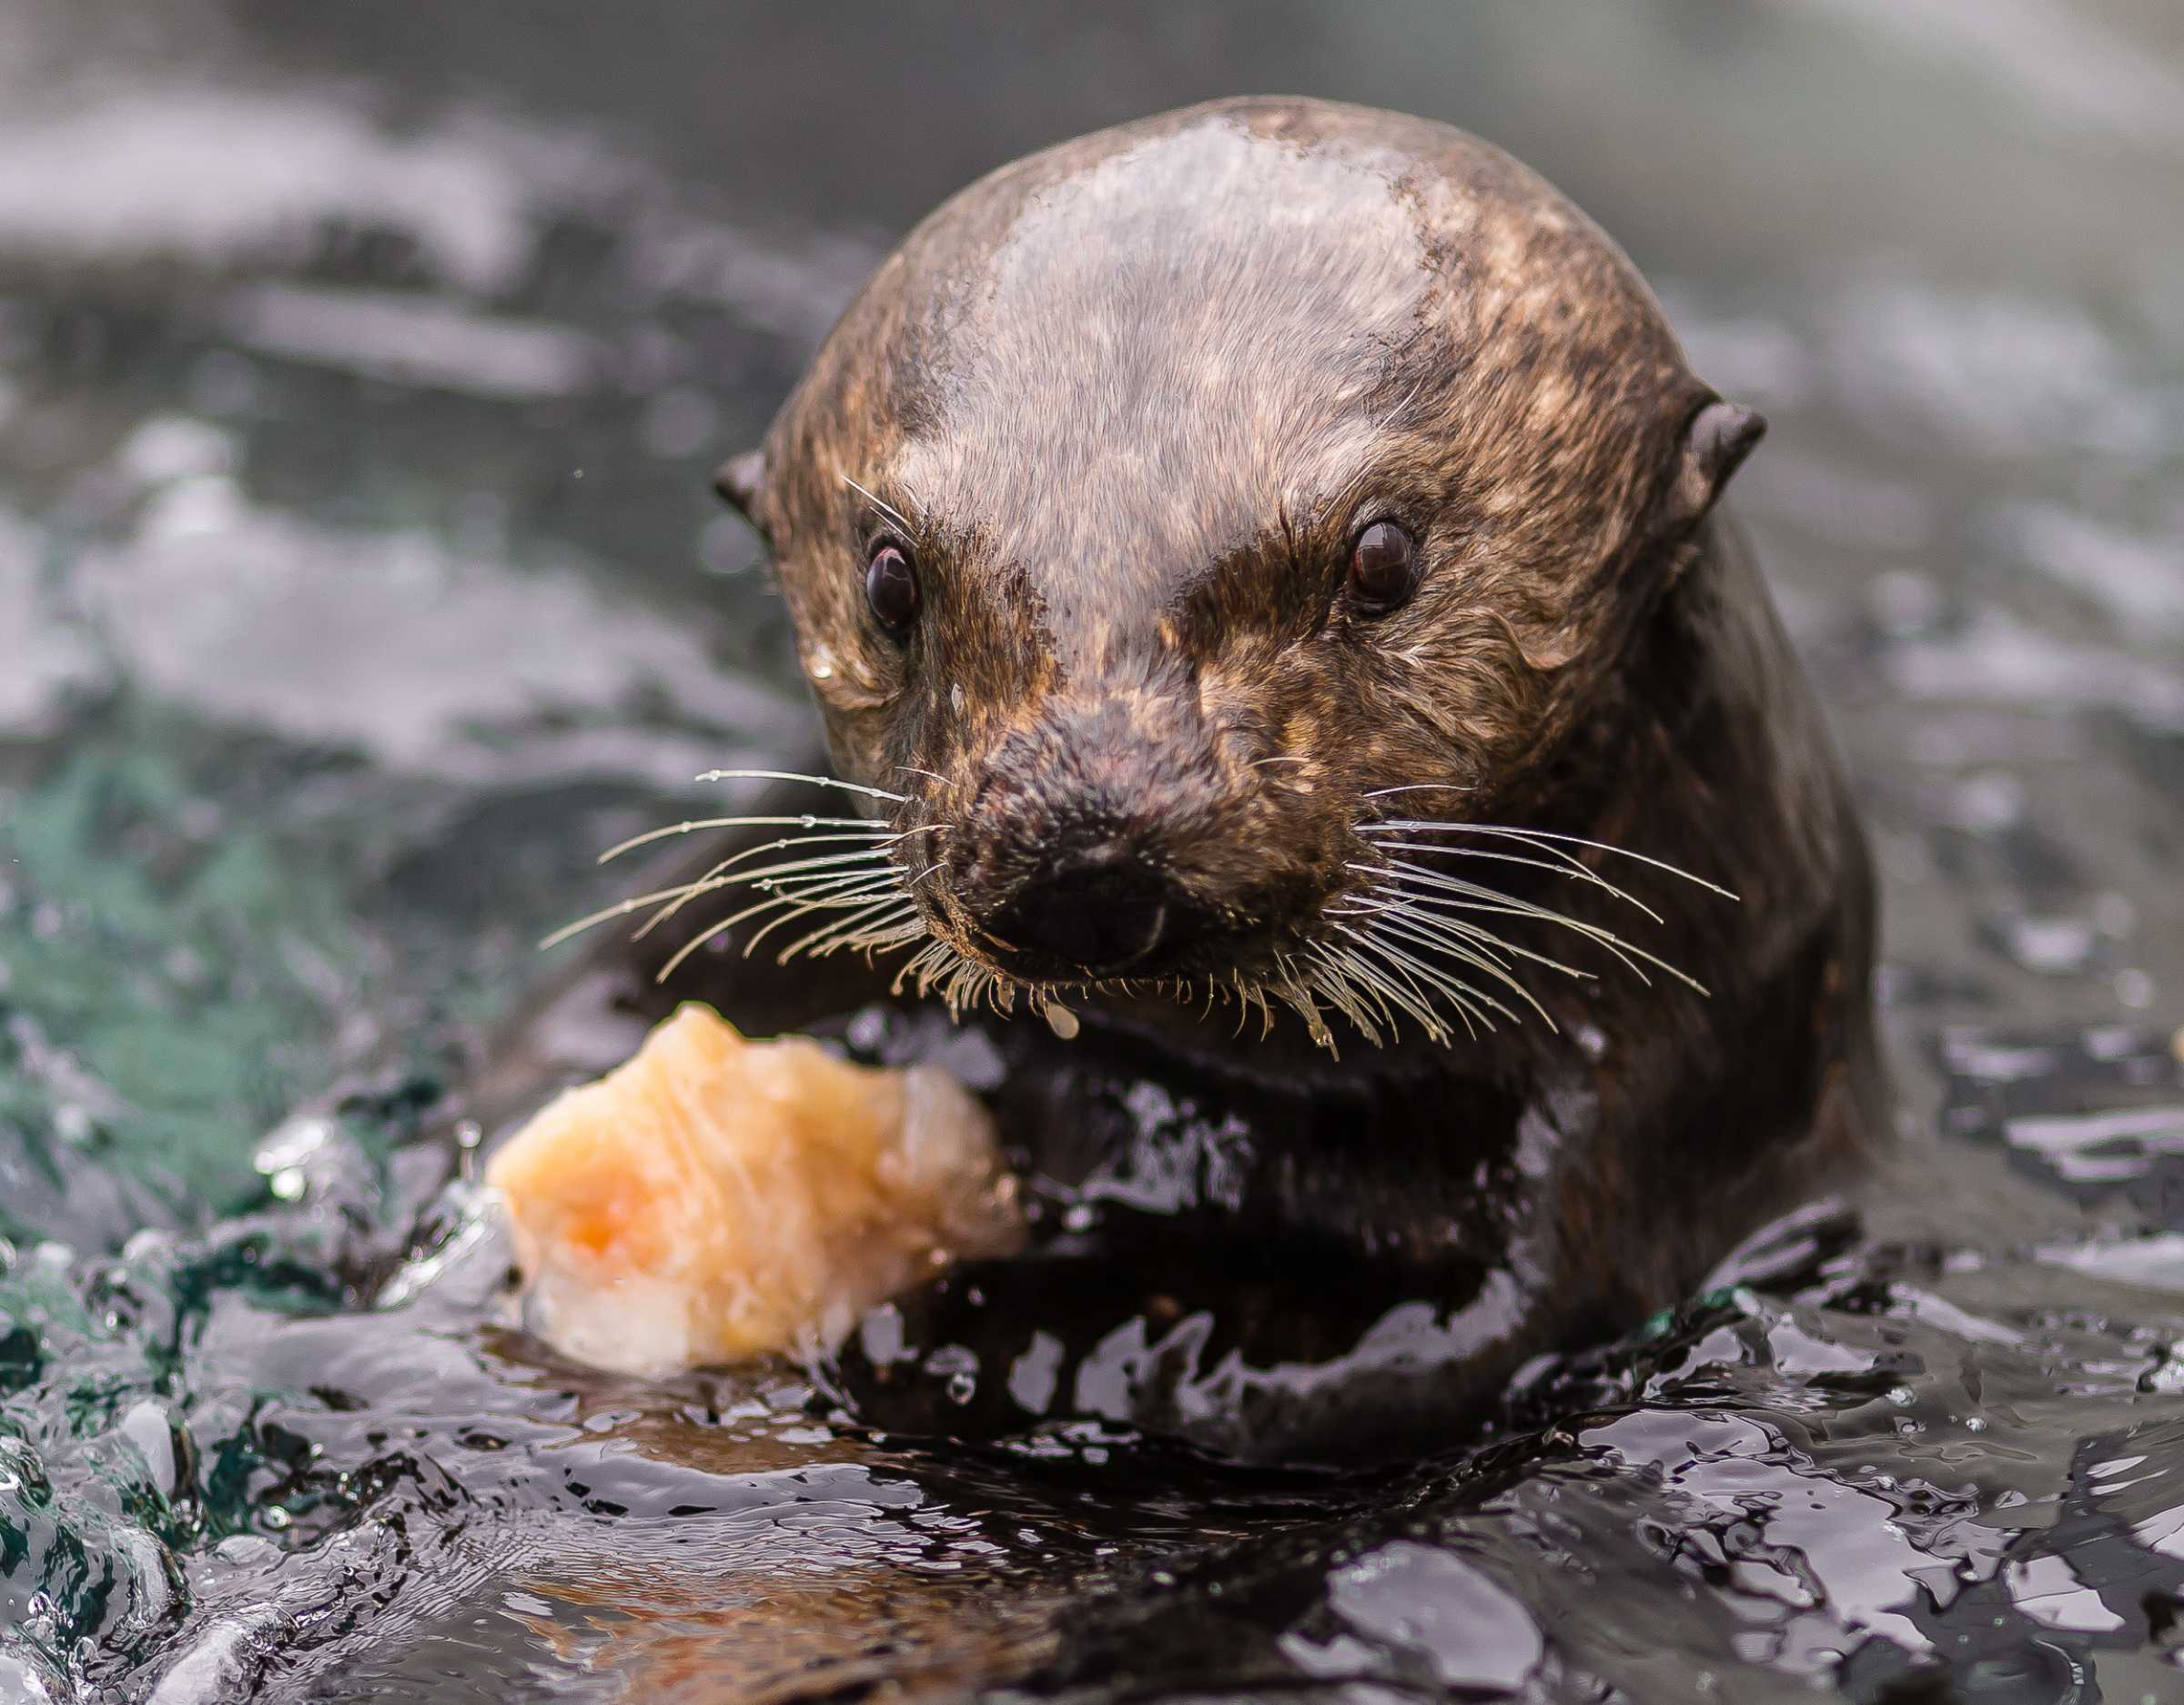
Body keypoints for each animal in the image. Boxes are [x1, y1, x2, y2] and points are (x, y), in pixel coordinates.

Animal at [505, 97, 1884, 1461]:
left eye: (1382, 557)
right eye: (891, 577)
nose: (1085, 844)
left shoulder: (1625, 1134)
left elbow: (1386, 1344)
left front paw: (979, 1330)